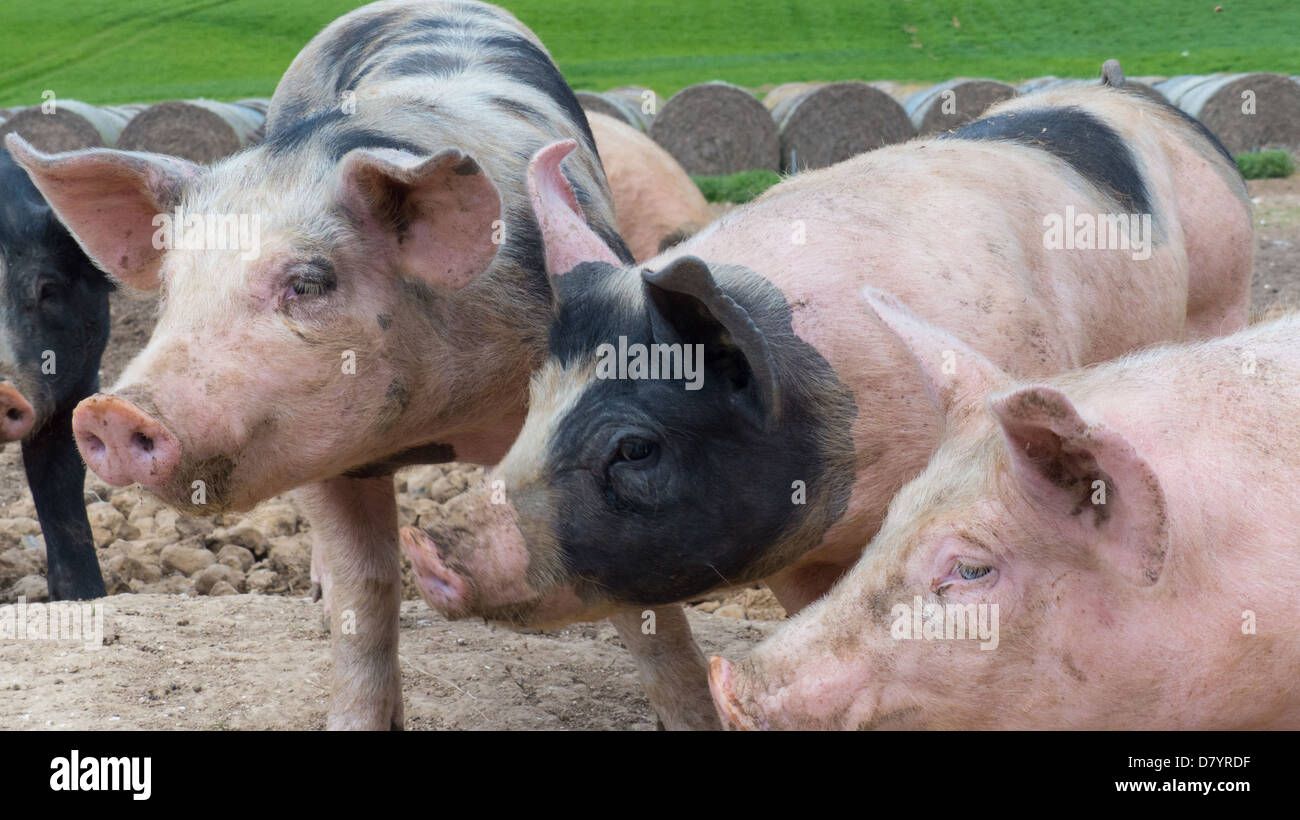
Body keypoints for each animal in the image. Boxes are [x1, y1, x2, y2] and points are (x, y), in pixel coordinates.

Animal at [6, 0, 632, 729]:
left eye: (307, 283)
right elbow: (368, 592)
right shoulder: (324, 457)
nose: (108, 408)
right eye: (170, 287)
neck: (448, 419)